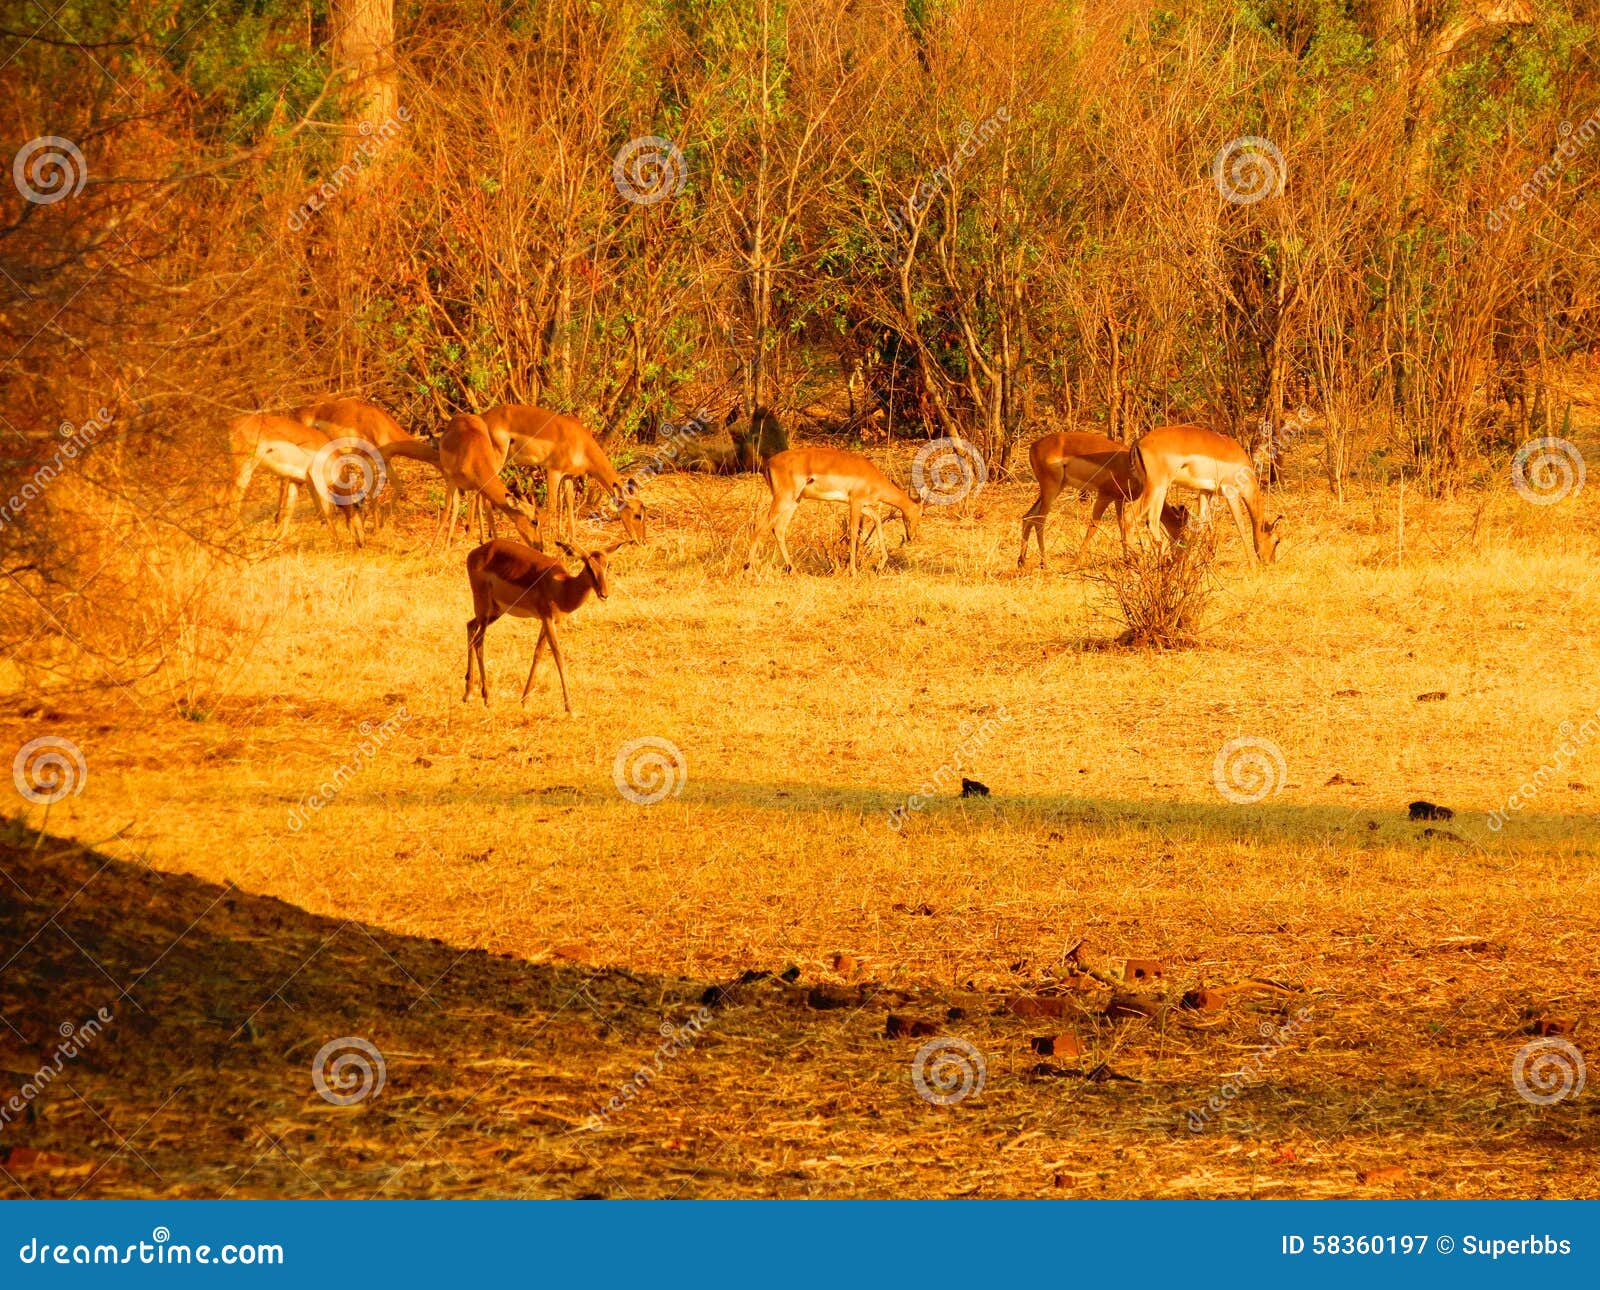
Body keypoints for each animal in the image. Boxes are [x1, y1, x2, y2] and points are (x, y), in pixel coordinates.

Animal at [463, 537, 621, 714]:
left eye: (607, 565)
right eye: (588, 566)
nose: (604, 594)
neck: (562, 587)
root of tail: (476, 552)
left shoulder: (550, 622)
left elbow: (538, 653)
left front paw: (524, 701)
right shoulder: (547, 619)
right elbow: (558, 656)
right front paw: (569, 708)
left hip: (495, 611)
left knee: (470, 626)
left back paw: (468, 693)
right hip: (484, 608)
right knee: (479, 642)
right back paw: (487, 699)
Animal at [480, 404, 646, 546]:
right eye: (637, 514)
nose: (642, 541)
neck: (581, 441)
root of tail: (483, 417)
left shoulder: (568, 476)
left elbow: (568, 504)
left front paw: (571, 540)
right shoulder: (554, 471)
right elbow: (552, 505)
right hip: (497, 459)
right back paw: (490, 537)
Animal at [747, 446, 923, 575]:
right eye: (921, 513)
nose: (912, 536)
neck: (873, 477)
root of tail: (769, 463)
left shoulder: (864, 506)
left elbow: (878, 519)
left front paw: (879, 565)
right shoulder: (855, 502)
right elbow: (853, 532)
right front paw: (853, 572)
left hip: (793, 501)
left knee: (778, 529)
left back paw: (793, 571)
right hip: (783, 499)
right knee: (760, 527)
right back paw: (750, 569)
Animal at [1018, 431, 1190, 569]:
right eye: (1182, 534)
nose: (1180, 563)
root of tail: (1034, 446)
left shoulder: (1119, 500)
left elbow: (1122, 528)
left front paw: (1127, 561)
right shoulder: (1105, 495)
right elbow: (1093, 527)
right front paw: (1075, 563)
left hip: (1055, 487)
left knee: (1028, 516)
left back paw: (1022, 562)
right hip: (1051, 488)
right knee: (1039, 519)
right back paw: (1045, 563)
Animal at [1130, 425, 1283, 564]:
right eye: (1277, 540)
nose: (1271, 563)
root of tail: (1139, 441)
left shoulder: (1206, 491)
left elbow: (1203, 523)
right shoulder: (1231, 493)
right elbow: (1241, 526)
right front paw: (1252, 565)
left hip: (1158, 489)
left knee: (1151, 520)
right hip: (1156, 487)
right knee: (1132, 516)